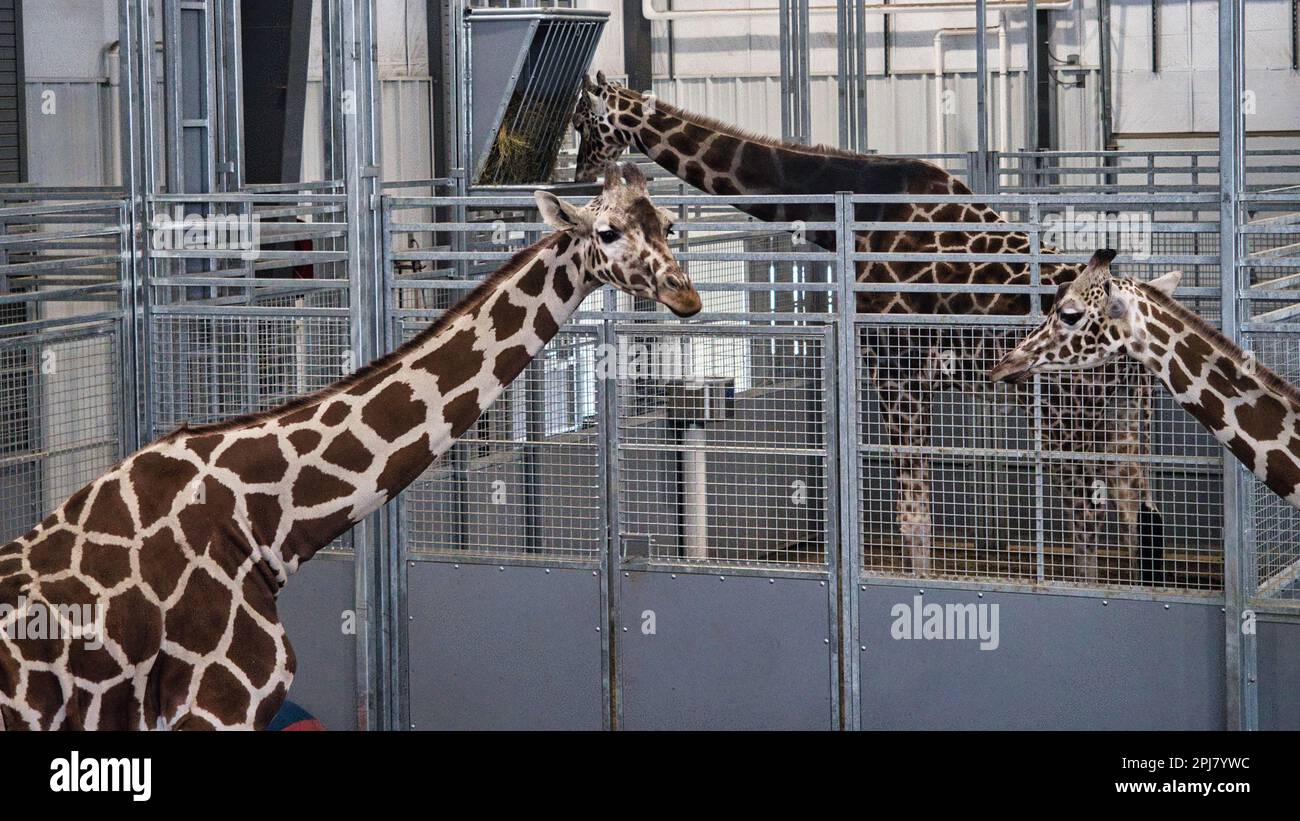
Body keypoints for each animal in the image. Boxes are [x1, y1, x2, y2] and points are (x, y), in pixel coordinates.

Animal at [571, 73, 1163, 583]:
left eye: (583, 121)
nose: (580, 175)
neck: (850, 213)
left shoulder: (892, 364)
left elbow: (914, 518)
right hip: (1122, 409)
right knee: (1136, 507)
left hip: (1065, 408)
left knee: (1089, 515)